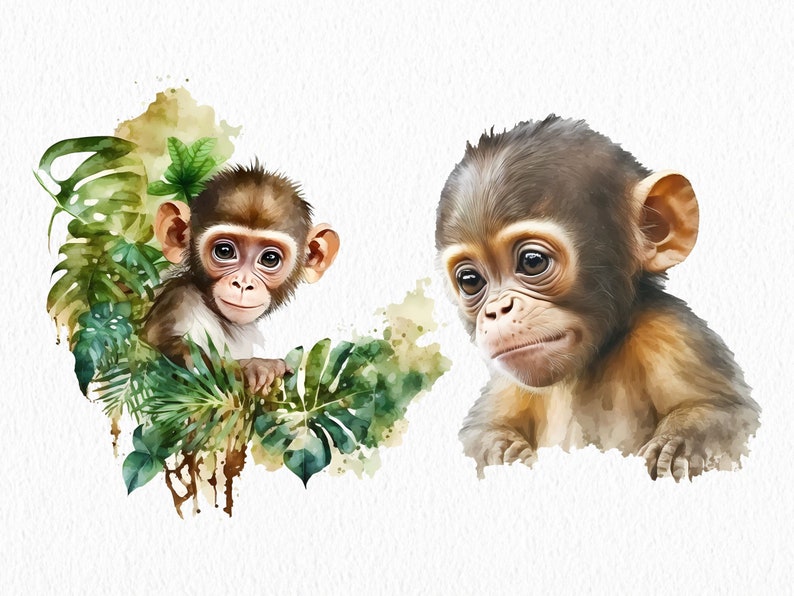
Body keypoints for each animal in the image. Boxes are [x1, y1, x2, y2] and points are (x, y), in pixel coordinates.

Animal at [142, 163, 339, 395]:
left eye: (270, 259)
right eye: (224, 251)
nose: (243, 284)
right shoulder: (180, 303)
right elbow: (180, 354)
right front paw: (256, 367)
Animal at [436, 116, 760, 481]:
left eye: (532, 261)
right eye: (471, 281)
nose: (497, 310)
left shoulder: (673, 336)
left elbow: (725, 414)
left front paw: (679, 446)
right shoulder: (510, 383)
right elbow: (480, 429)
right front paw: (498, 451)